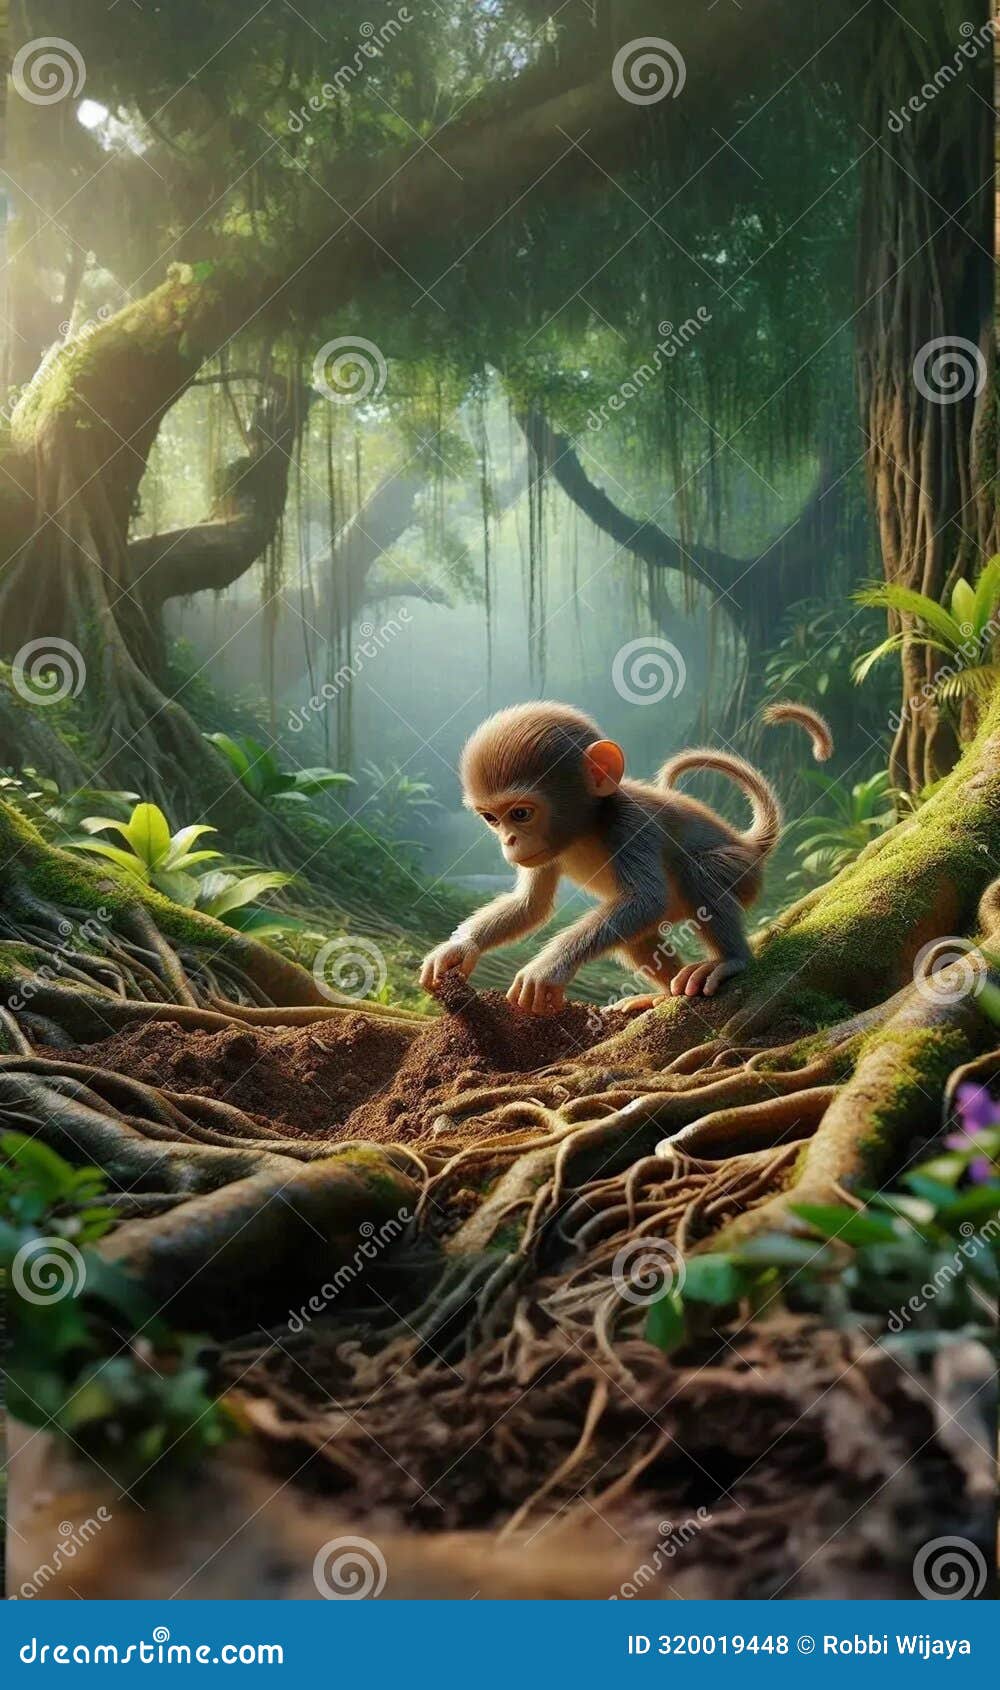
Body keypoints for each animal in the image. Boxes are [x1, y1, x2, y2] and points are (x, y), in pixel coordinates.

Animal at [420, 699, 832, 1016]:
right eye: (492, 818)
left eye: (521, 814)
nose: (509, 840)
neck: (587, 826)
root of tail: (748, 845)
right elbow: (530, 905)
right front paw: (458, 949)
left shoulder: (630, 823)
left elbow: (645, 899)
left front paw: (548, 968)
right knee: (635, 936)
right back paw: (661, 995)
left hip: (742, 872)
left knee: (698, 873)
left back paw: (731, 961)